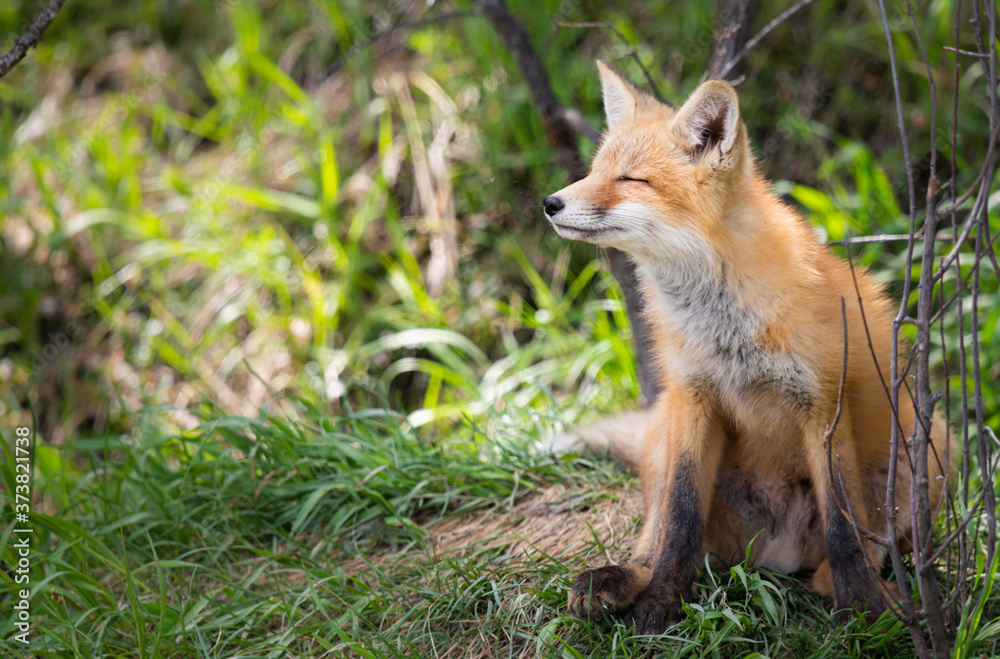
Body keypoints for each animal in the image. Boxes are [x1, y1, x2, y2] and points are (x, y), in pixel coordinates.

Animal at [542, 61, 949, 634]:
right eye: (594, 171)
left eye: (631, 179)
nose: (550, 203)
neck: (726, 328)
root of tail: (773, 557)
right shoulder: (693, 395)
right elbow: (680, 519)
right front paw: (663, 600)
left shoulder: (823, 404)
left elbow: (844, 525)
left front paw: (866, 609)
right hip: (664, 427)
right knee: (657, 530)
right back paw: (621, 578)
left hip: (933, 445)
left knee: (847, 554)